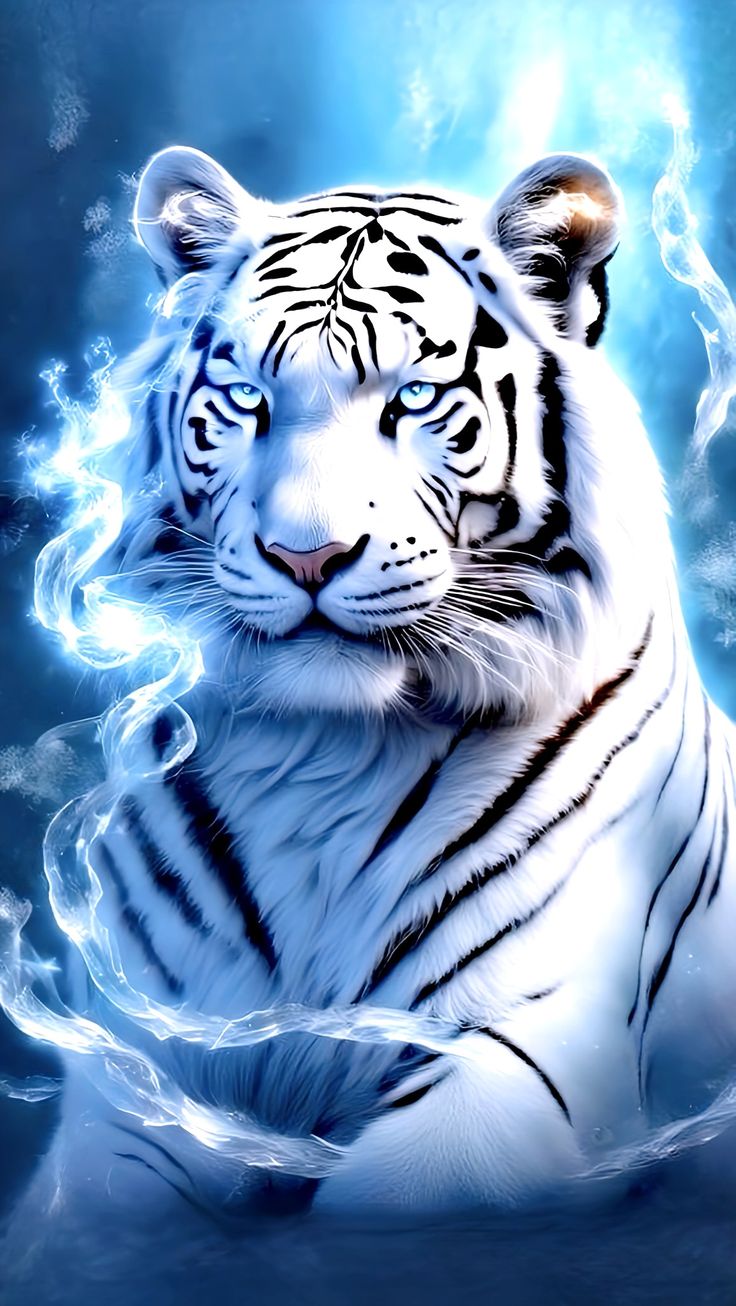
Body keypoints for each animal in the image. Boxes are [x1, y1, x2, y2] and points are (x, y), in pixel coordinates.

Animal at [10, 144, 736, 1231]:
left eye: (415, 399)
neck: (322, 751)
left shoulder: (514, 1058)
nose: (304, 555)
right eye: (249, 398)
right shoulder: (140, 1083)